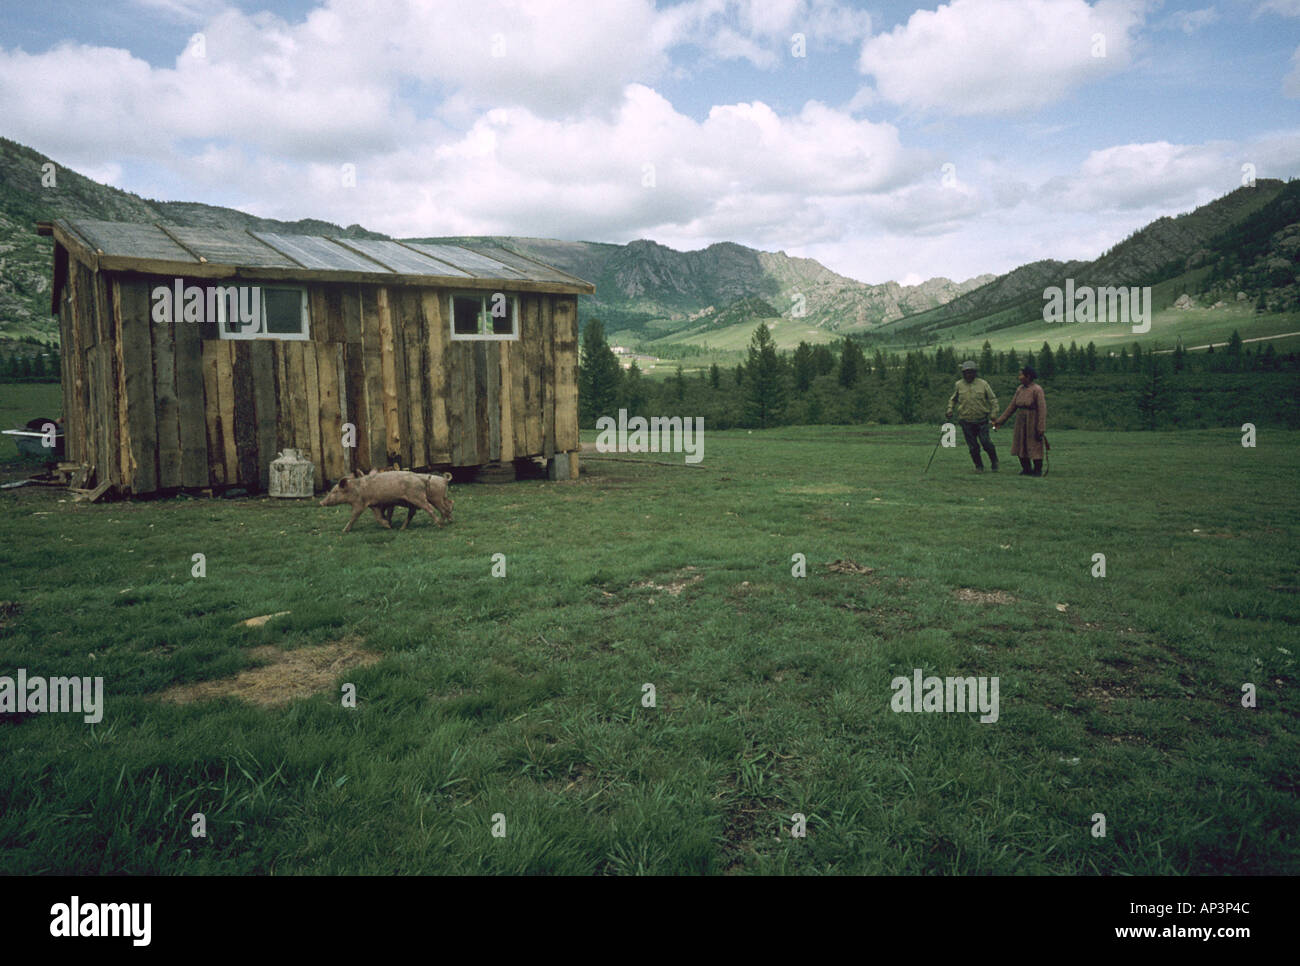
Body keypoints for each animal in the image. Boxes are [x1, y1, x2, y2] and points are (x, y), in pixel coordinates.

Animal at [319, 469, 448, 533]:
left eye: (335, 491)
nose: (321, 503)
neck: (356, 489)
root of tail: (422, 479)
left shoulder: (359, 503)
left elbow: (354, 517)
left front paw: (343, 531)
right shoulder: (374, 505)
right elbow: (378, 517)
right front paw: (388, 525)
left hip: (417, 497)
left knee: (431, 508)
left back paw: (439, 525)